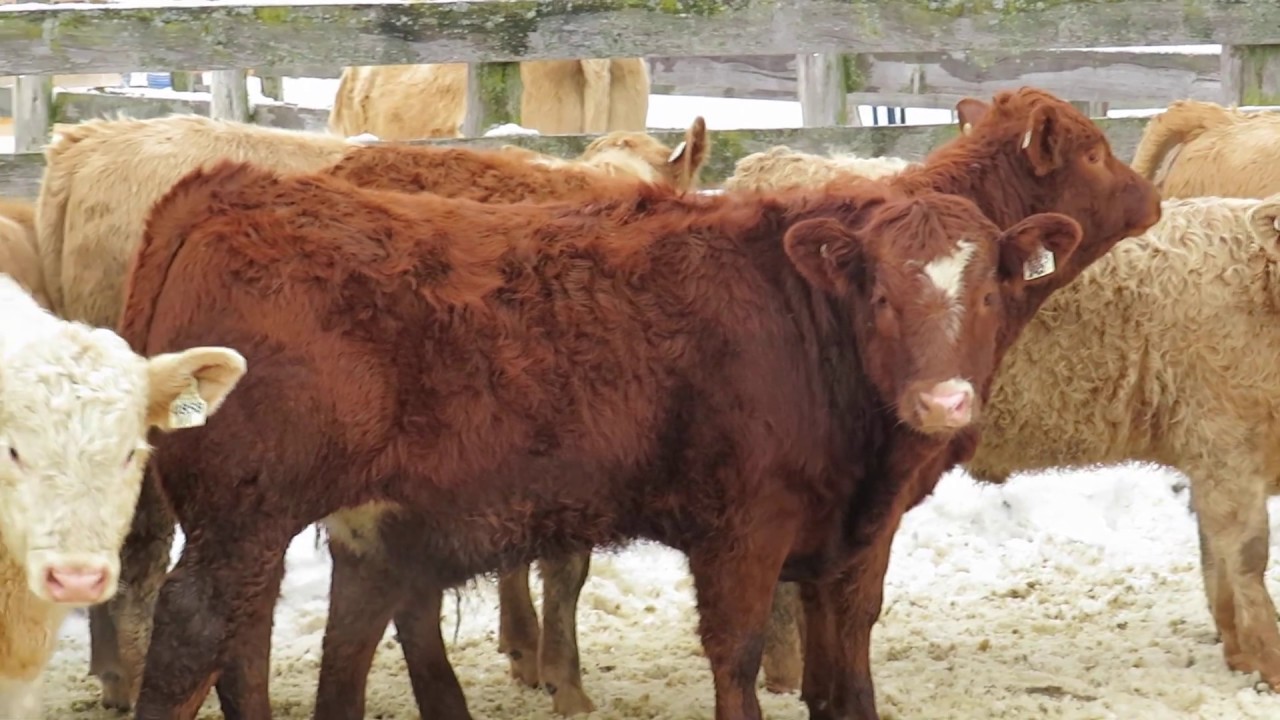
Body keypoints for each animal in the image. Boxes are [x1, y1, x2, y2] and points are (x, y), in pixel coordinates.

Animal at [116, 147, 1099, 720]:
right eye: (883, 294)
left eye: (989, 291)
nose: (944, 402)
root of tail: (231, 185)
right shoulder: (743, 528)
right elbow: (738, 656)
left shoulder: (856, 537)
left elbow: (845, 665)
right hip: (244, 511)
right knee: (192, 639)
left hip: (321, 521)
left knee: (279, 646)